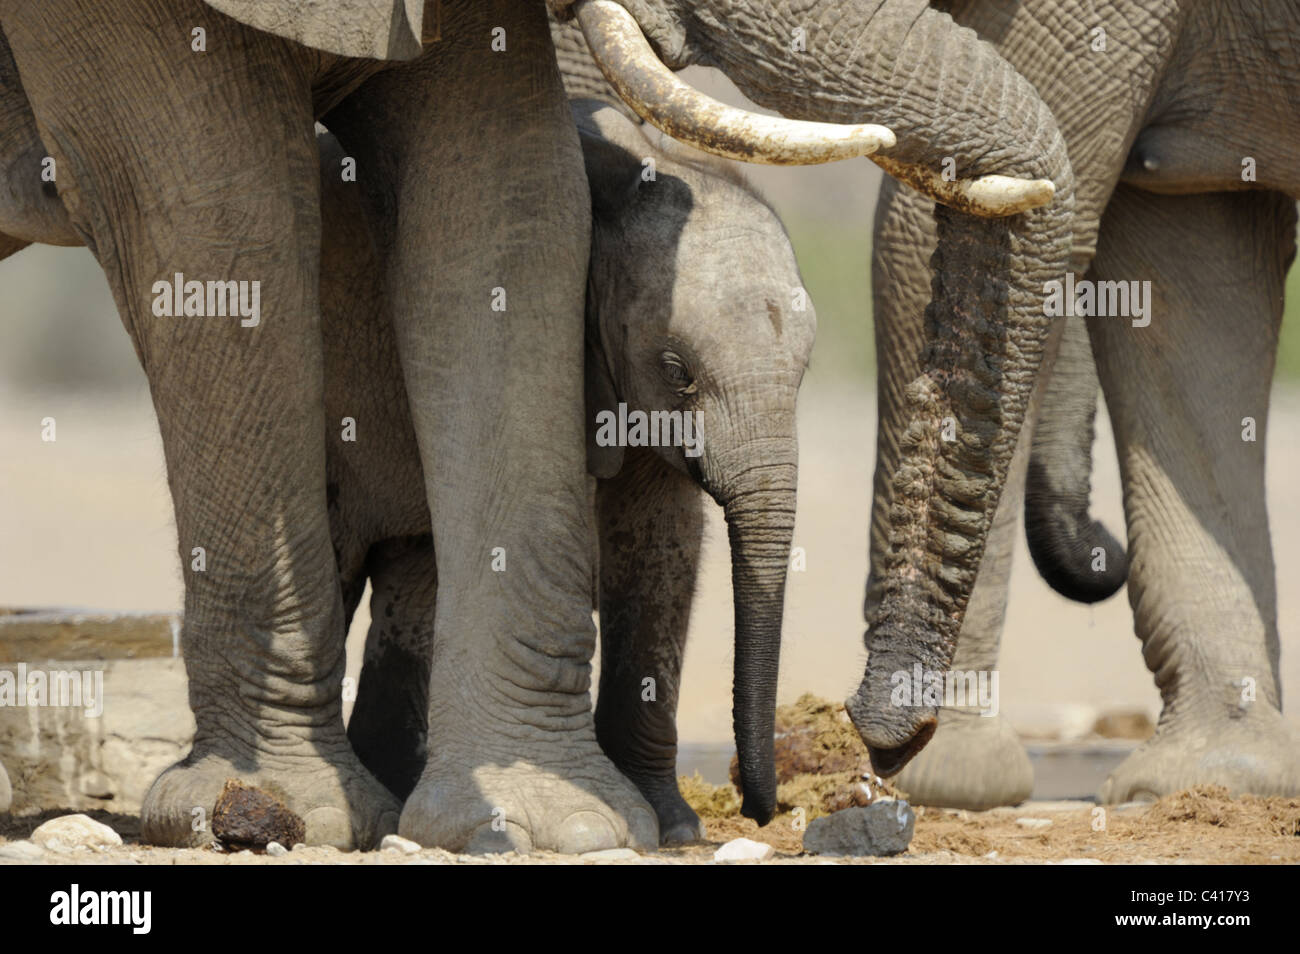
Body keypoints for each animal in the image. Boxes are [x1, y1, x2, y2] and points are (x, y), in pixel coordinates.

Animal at [0, 0, 1073, 850]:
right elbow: (215, 219)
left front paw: (654, 829)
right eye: (678, 370)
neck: (647, 161)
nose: (771, 802)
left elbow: (654, 529)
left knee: (417, 574)